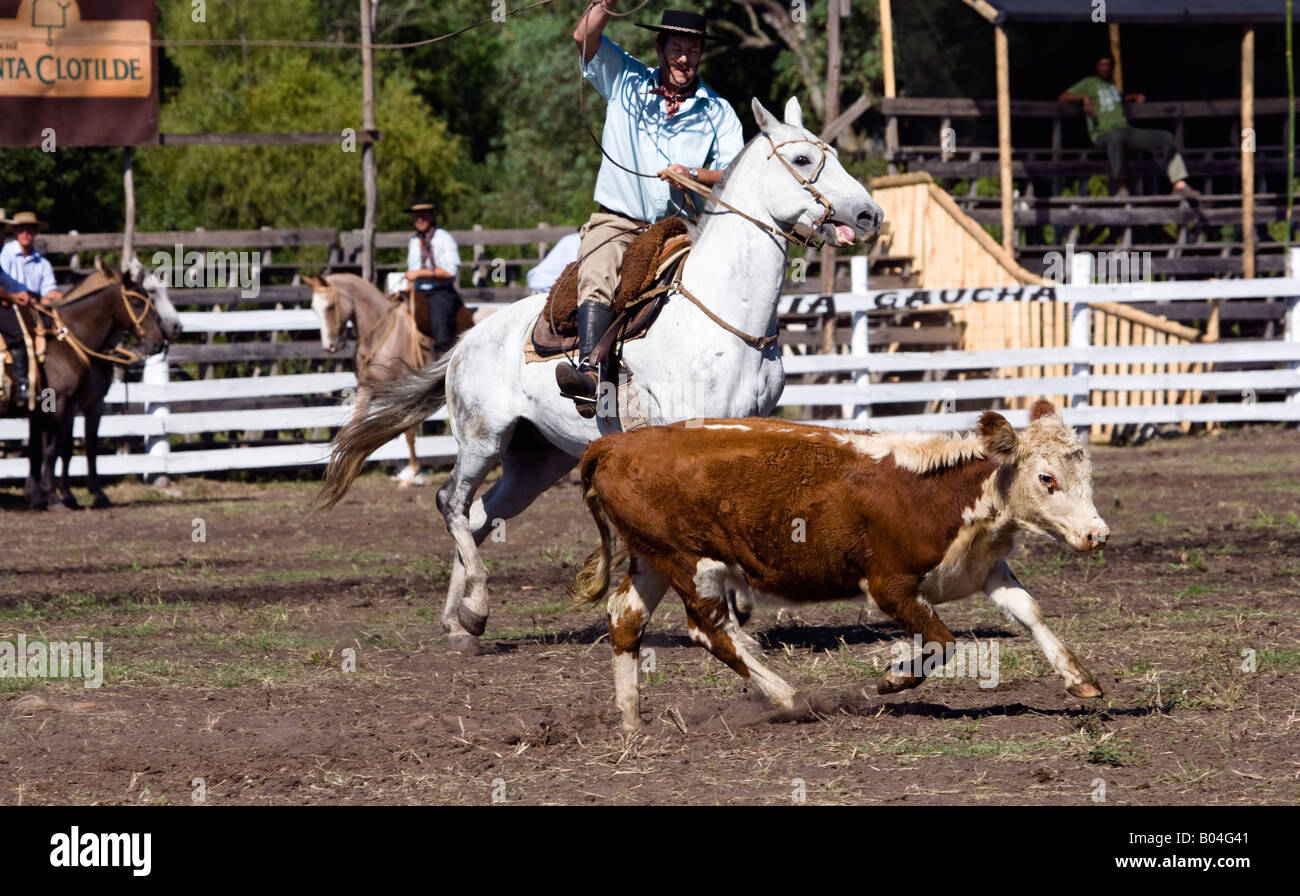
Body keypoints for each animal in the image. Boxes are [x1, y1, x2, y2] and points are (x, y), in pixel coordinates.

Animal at [569, 400, 1110, 731]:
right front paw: (894, 678)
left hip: (652, 558)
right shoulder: (889, 585)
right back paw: (788, 698)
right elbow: (943, 641)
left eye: (1085, 473)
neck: (942, 492)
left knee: (625, 617)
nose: (1097, 534)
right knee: (712, 631)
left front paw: (1079, 678)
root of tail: (615, 445)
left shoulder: (983, 569)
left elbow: (1030, 612)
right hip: (690, 563)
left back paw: (632, 719)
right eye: (1046, 478)